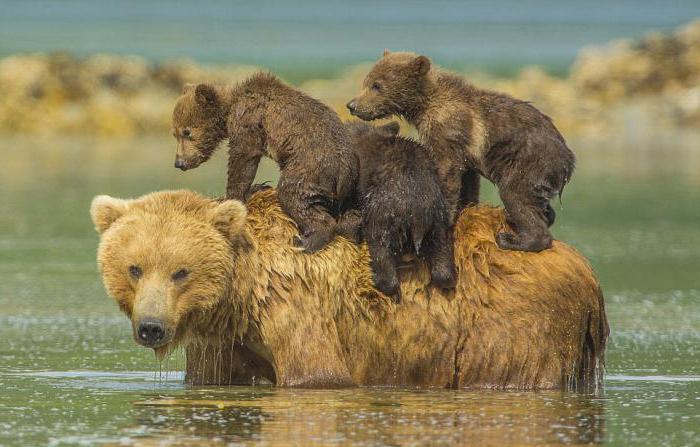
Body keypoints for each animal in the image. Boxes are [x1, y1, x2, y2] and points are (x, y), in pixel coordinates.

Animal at [91, 190, 608, 392]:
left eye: (181, 271)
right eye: (135, 267)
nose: (152, 327)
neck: (244, 293)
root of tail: (586, 268)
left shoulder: (297, 309)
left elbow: (317, 374)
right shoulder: (225, 343)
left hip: (513, 321)